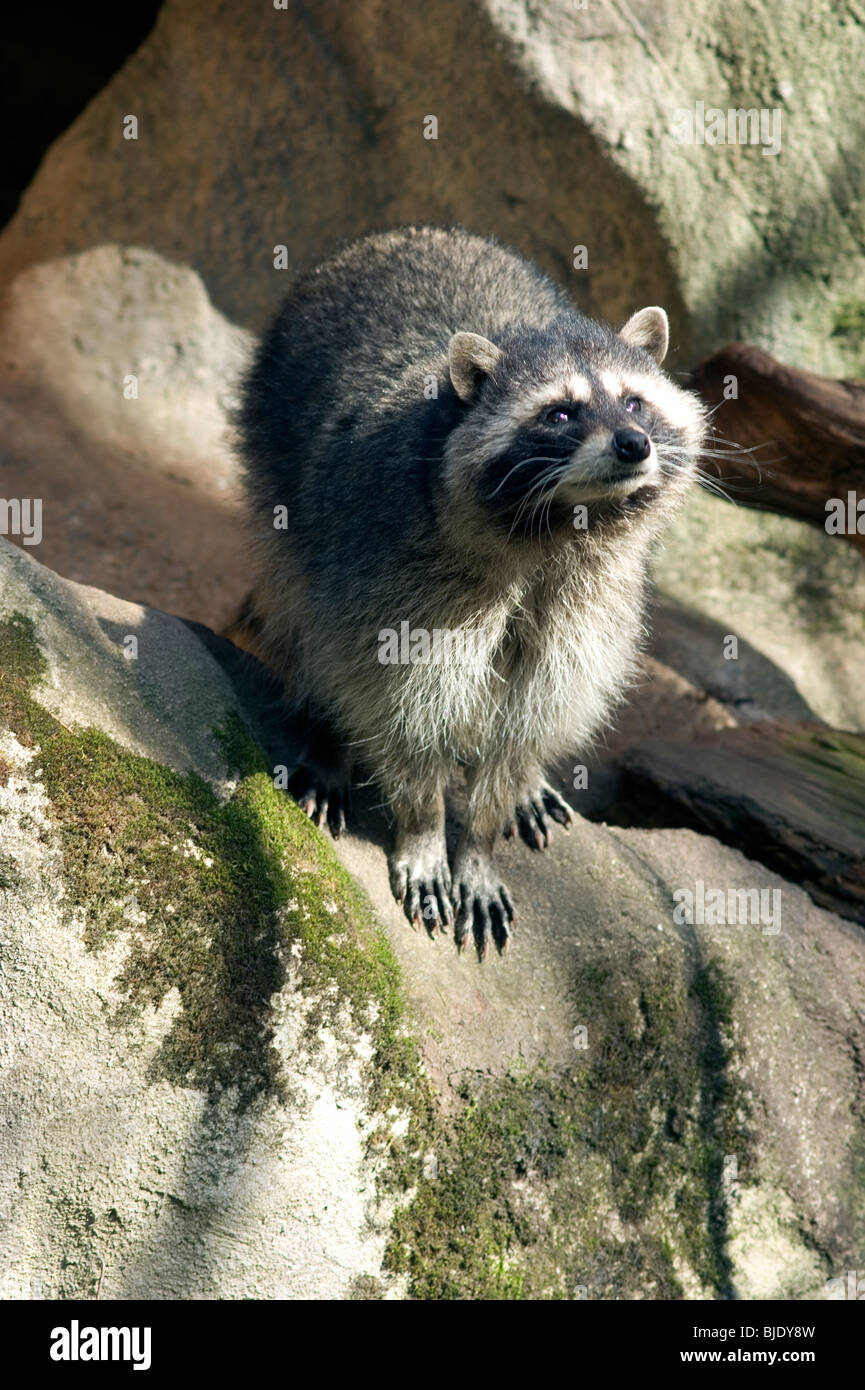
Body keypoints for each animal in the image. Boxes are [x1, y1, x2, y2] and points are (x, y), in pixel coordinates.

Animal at [238, 226, 705, 958]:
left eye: (634, 401)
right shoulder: (399, 579)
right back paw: (325, 733)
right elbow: (401, 708)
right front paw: (425, 829)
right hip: (276, 470)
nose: (633, 444)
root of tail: (408, 232)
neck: (563, 524)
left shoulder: (591, 599)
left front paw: (482, 842)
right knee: (305, 617)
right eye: (560, 413)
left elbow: (529, 719)